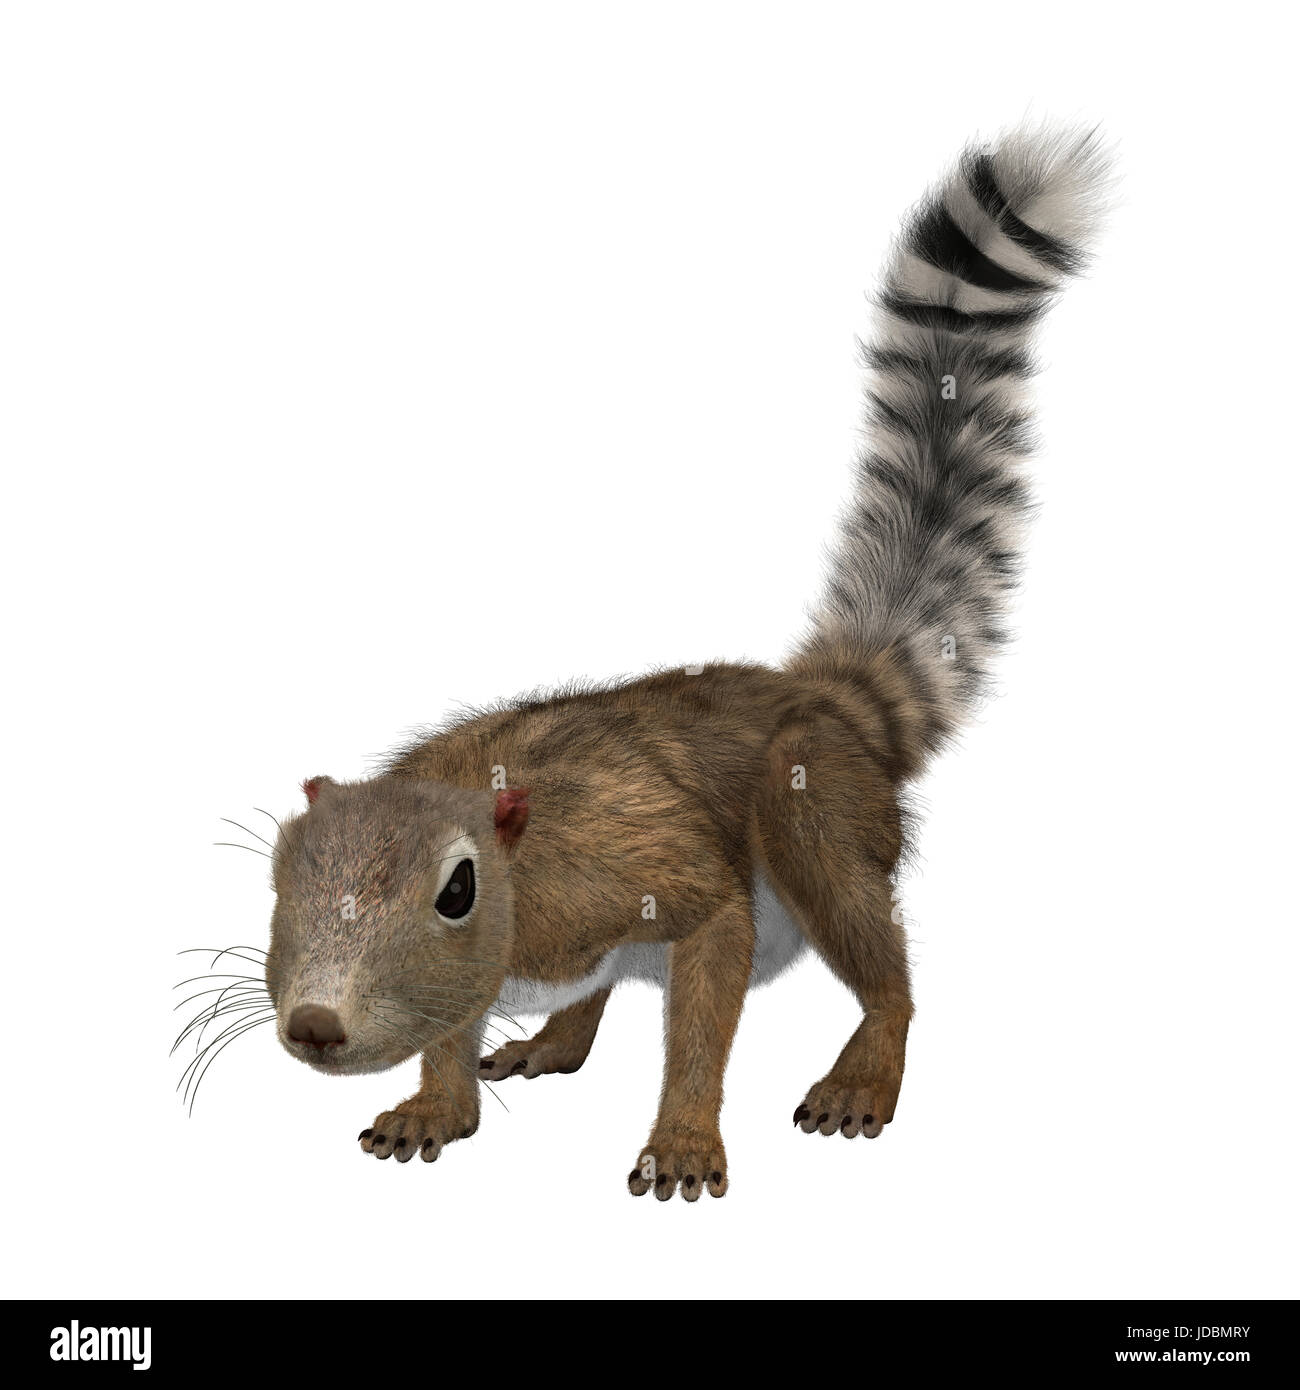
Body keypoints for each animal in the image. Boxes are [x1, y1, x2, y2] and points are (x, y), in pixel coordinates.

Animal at [255, 126, 1110, 1200]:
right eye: (281, 877)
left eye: (457, 892)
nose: (316, 1026)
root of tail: (826, 699)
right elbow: (452, 1041)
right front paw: (436, 1108)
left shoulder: (638, 868)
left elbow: (709, 980)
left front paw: (685, 1141)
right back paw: (552, 1037)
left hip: (816, 802)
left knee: (868, 943)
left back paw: (866, 1065)